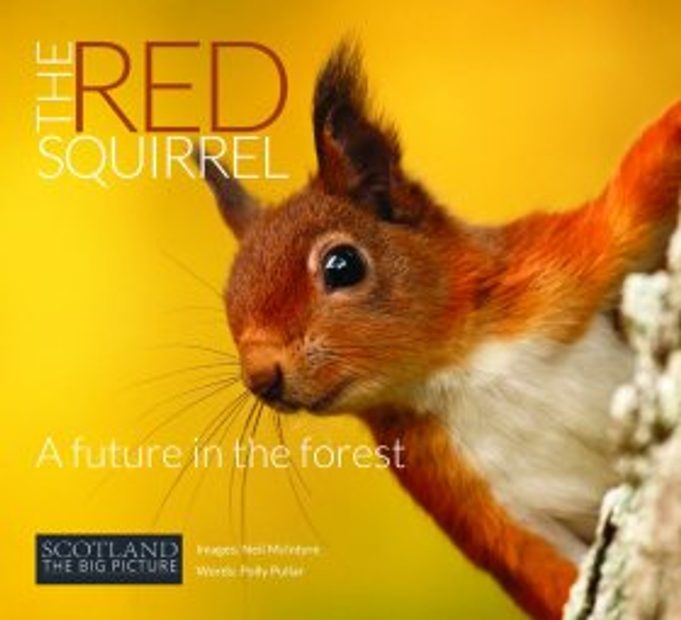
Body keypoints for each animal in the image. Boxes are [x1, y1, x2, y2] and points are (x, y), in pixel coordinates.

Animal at [196, 41, 681, 620]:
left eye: (342, 266)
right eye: (227, 301)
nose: (260, 376)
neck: (459, 368)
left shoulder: (562, 267)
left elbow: (638, 184)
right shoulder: (458, 492)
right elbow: (540, 570)